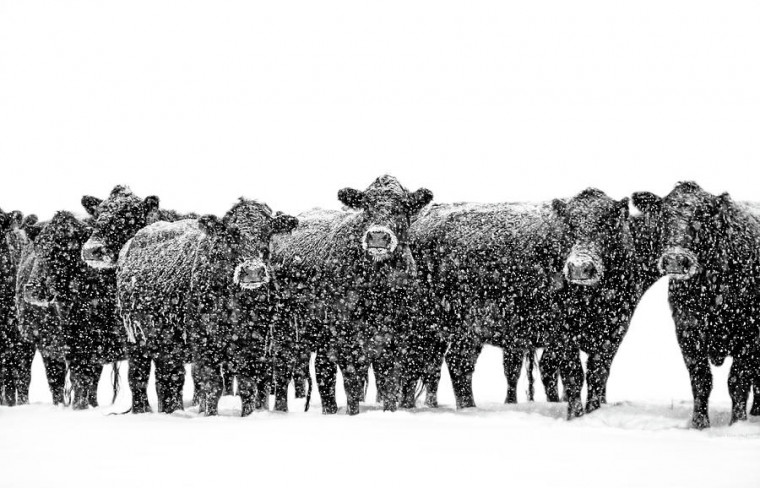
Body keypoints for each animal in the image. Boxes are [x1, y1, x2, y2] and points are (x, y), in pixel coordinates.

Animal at [22, 211, 125, 409]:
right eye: (37, 247)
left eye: (60, 248)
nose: (32, 289)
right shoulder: (75, 343)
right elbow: (80, 380)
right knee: (55, 382)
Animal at [116, 200, 297, 415]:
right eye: (232, 233)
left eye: (268, 231)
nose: (252, 271)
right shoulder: (203, 342)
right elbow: (213, 385)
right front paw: (211, 415)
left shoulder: (255, 343)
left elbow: (248, 385)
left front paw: (248, 414)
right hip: (135, 341)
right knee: (138, 379)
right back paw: (141, 411)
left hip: (167, 346)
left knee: (169, 380)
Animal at [273, 175, 433, 415]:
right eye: (366, 205)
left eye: (402, 206)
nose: (378, 237)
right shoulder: (346, 340)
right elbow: (353, 385)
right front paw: (352, 414)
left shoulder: (396, 340)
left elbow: (390, 384)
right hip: (285, 331)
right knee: (285, 372)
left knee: (324, 373)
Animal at [405, 189, 633, 419]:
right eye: (569, 226)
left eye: (607, 224)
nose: (580, 267)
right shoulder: (562, 334)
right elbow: (574, 376)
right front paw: (575, 415)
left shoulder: (613, 333)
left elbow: (597, 376)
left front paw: (593, 411)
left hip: (469, 330)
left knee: (457, 362)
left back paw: (468, 407)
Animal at [633, 181, 760, 428]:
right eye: (663, 214)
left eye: (702, 215)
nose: (675, 260)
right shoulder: (688, 330)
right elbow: (701, 379)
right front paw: (699, 423)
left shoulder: (749, 335)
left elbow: (737, 381)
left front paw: (737, 422)